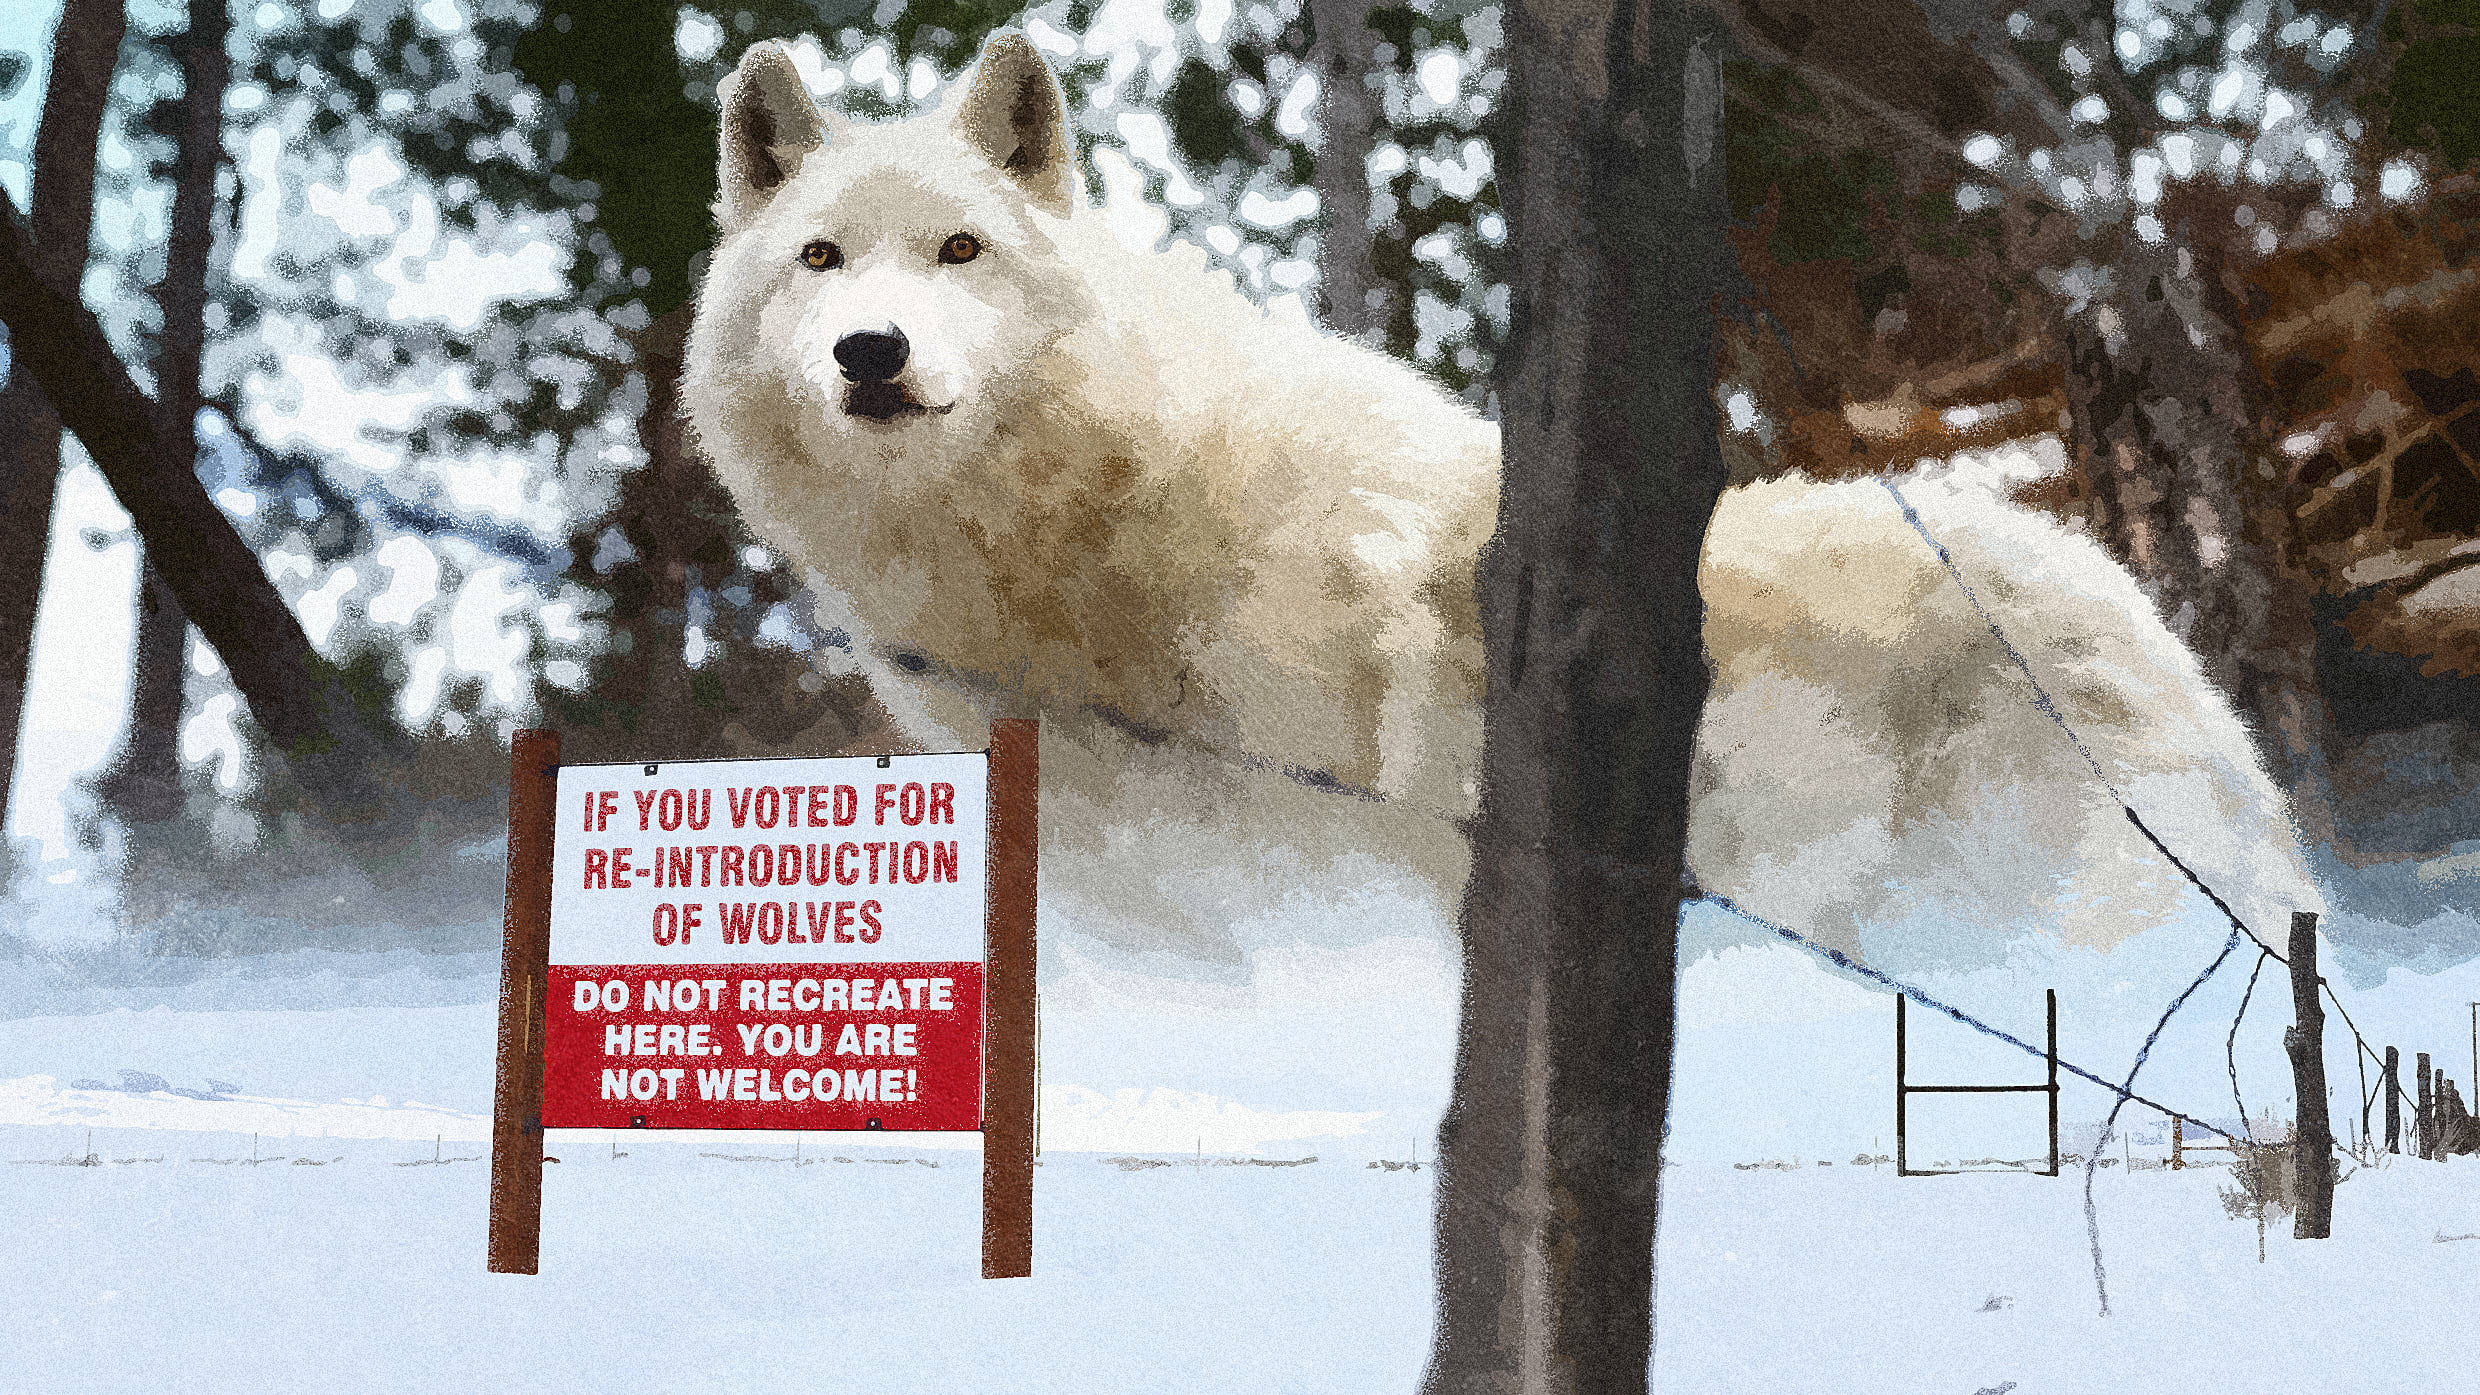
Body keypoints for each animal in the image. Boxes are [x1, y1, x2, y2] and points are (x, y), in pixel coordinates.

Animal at [681, 31, 2321, 965]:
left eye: (958, 250)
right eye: (821, 259)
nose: (873, 353)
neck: (1074, 553)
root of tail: (2150, 637)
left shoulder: (1343, 903)